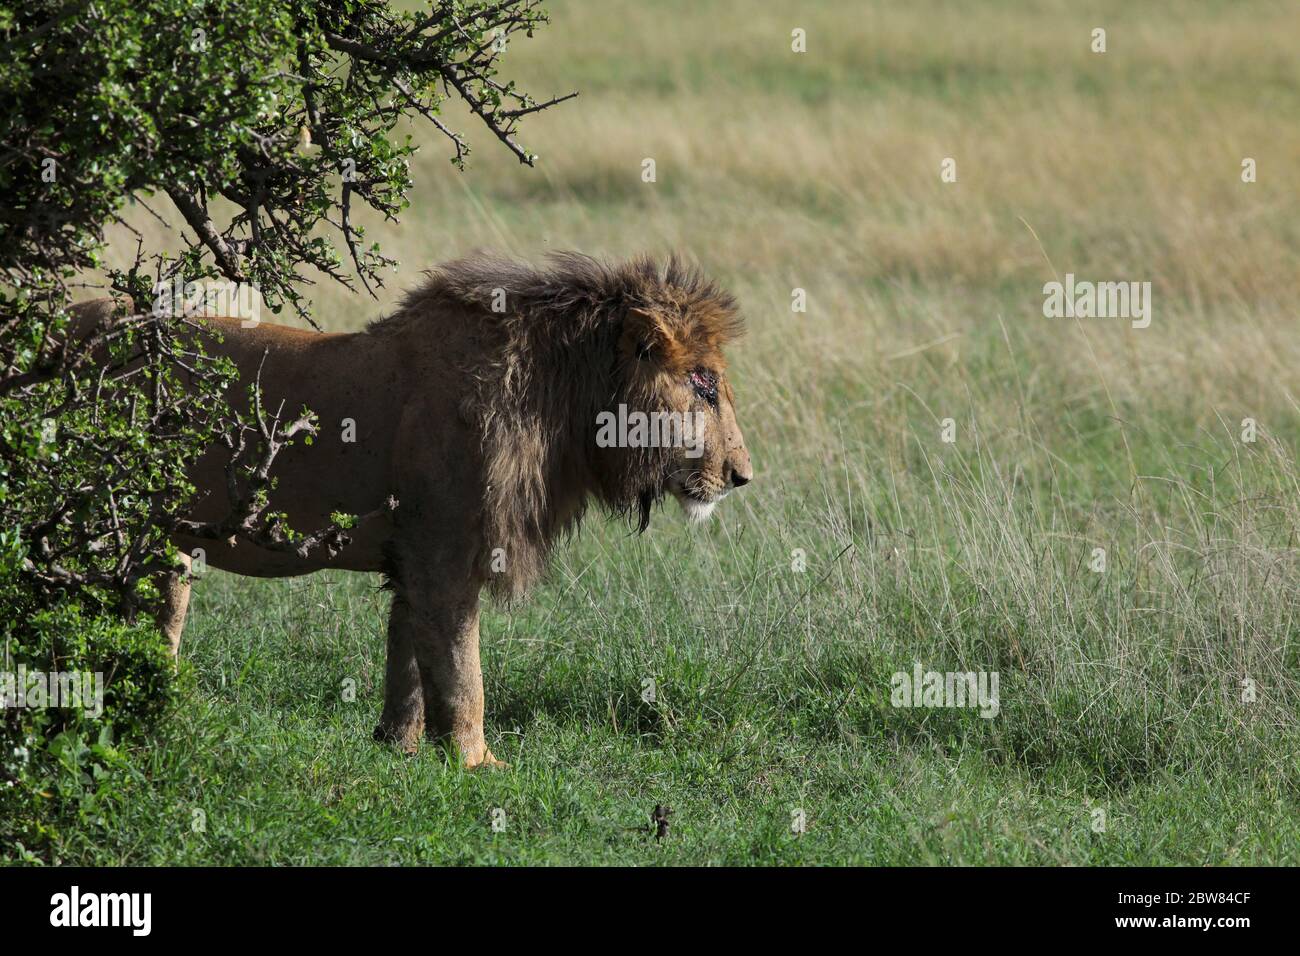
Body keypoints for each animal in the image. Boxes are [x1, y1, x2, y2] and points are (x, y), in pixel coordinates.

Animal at [151, 252, 752, 768]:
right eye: (704, 385)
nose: (741, 476)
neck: (559, 406)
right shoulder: (441, 553)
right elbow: (463, 673)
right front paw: (476, 763)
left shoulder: (413, 557)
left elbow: (410, 666)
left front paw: (398, 748)